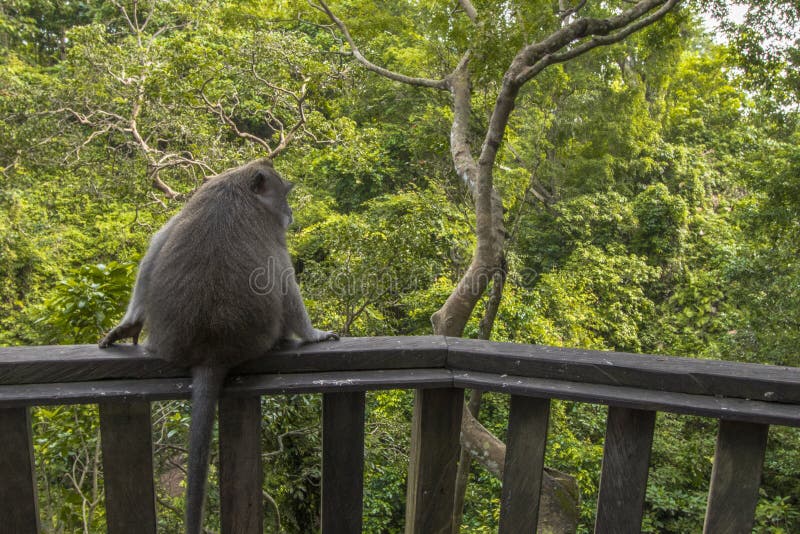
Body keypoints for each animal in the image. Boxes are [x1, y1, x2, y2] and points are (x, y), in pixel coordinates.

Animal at [99, 158, 338, 534]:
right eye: (284, 194)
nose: (290, 213)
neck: (239, 184)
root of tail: (210, 353)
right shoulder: (271, 232)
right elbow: (283, 276)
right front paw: (314, 334)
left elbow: (159, 239)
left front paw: (129, 324)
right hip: (261, 336)